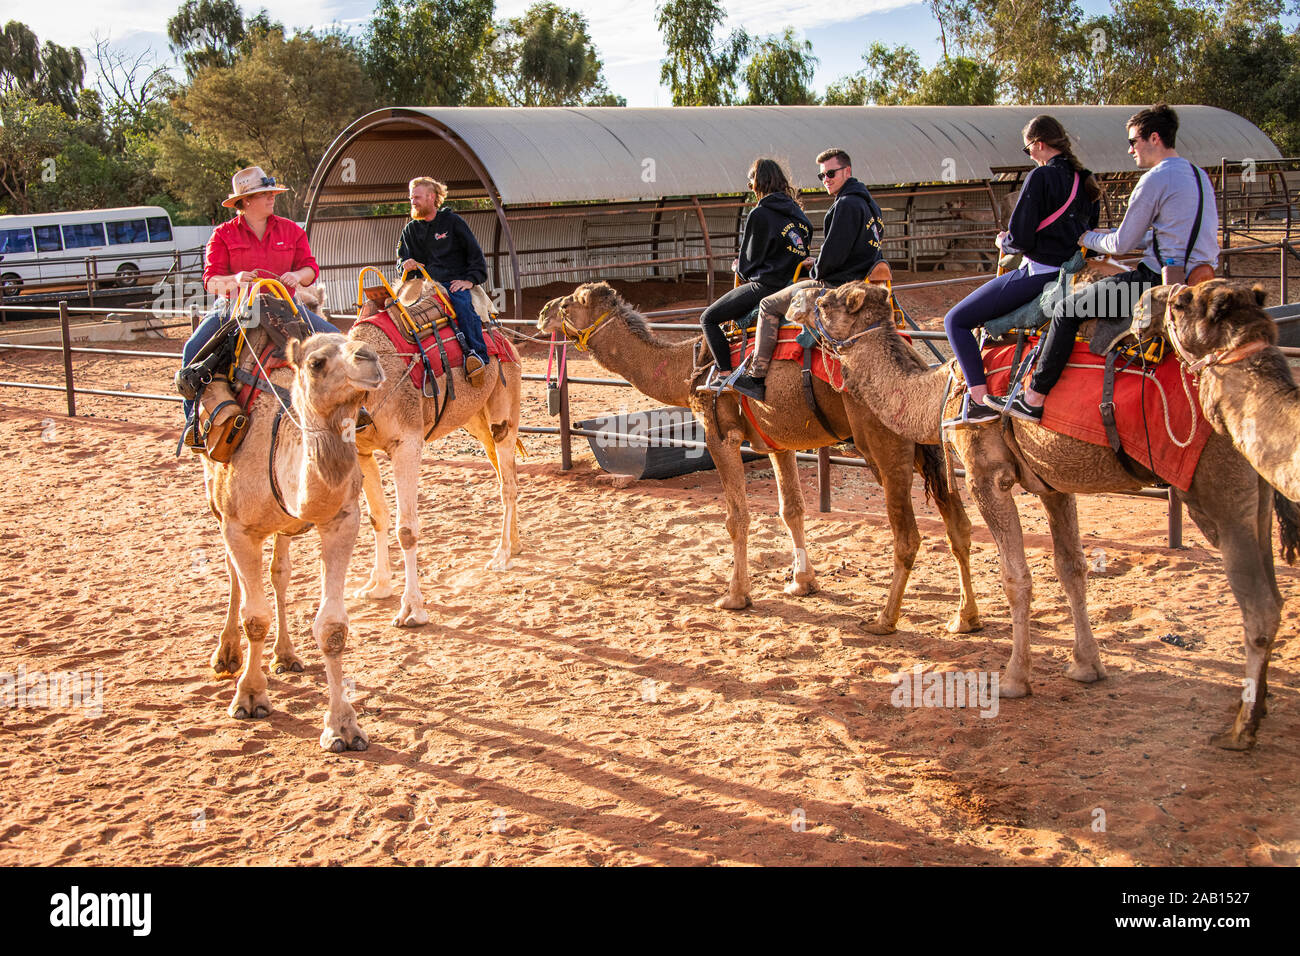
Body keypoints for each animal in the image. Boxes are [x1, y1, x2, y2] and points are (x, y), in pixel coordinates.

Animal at [206, 332, 384, 753]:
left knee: (279, 572)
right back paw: (227, 655)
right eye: (317, 363)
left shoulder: (341, 520)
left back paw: (285, 656)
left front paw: (343, 728)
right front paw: (250, 697)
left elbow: (332, 628)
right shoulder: (238, 526)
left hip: (281, 528)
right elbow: (254, 617)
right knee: (234, 574)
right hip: (215, 496)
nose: (370, 358)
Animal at [348, 274, 523, 626]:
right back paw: (515, 545)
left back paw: (500, 556)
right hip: (476, 419)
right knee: (504, 472)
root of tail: (503, 336)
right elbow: (377, 516)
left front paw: (412, 609)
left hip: (504, 409)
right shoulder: (362, 451)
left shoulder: (407, 444)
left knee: (507, 483)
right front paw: (377, 586)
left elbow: (406, 528)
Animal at [537, 280, 981, 634]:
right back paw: (965, 618)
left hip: (882, 445)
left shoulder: (720, 436)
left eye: (571, 303)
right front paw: (802, 583)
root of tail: (915, 365)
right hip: (928, 447)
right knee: (958, 524)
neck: (685, 370)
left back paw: (884, 620)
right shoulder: (777, 442)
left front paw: (734, 596)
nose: (541, 313)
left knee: (907, 534)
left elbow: (737, 518)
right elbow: (792, 510)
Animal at [800, 278, 1300, 749]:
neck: (938, 393)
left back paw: (1241, 729)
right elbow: (1071, 567)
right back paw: (1254, 712)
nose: (798, 300)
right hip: (1255, 492)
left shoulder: (987, 474)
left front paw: (1013, 679)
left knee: (1260, 604)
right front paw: (1086, 666)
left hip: (1218, 491)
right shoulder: (1053, 485)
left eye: (825, 302)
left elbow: (1015, 577)